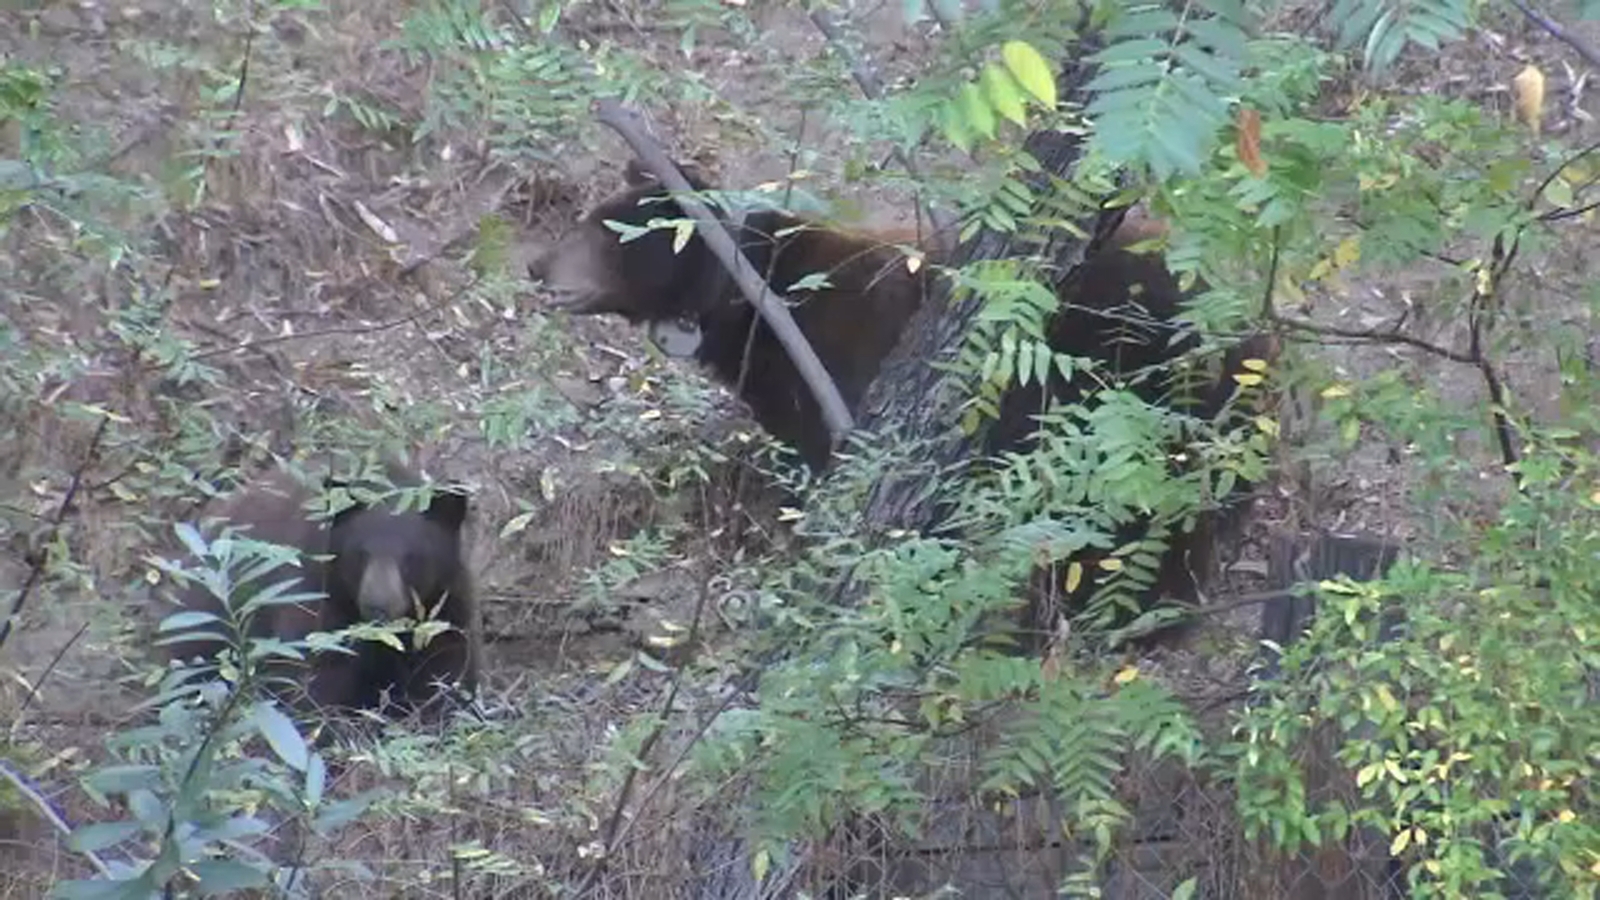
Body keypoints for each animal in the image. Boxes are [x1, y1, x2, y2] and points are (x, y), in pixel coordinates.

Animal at [162, 459, 480, 723]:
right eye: (361, 553)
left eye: (412, 557)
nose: (378, 605)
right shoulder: (319, 593)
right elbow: (315, 671)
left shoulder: (445, 604)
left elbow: (445, 667)